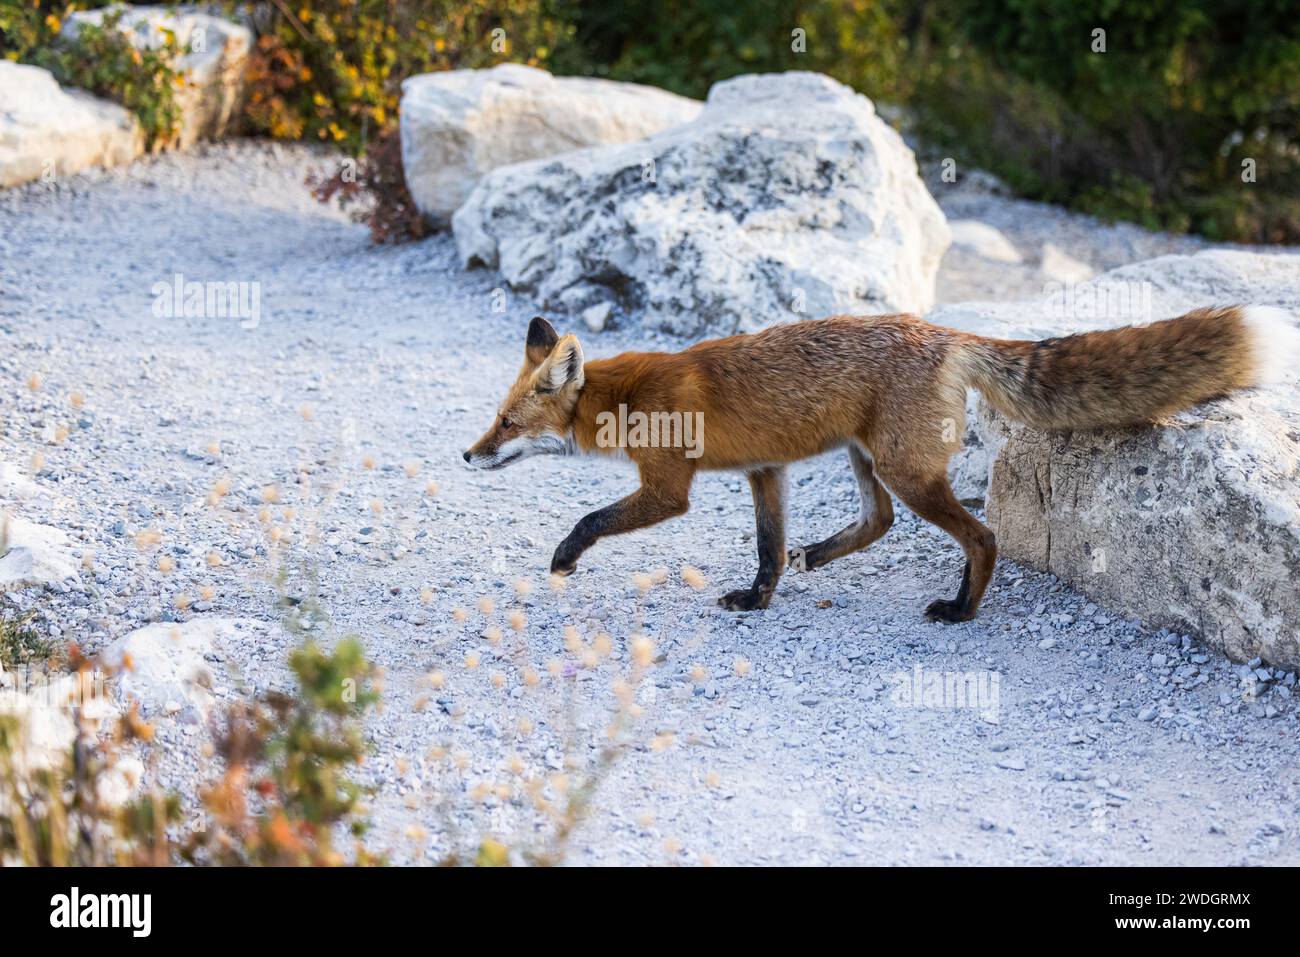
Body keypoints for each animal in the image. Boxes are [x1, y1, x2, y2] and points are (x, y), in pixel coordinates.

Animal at [464, 307, 1299, 621]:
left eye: (507, 421)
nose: (468, 453)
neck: (629, 393)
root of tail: (944, 331)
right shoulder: (766, 471)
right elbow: (767, 549)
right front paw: (758, 599)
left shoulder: (670, 489)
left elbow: (591, 516)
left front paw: (565, 556)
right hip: (869, 462)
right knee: (878, 522)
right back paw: (822, 554)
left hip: (906, 470)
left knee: (980, 536)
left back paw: (962, 609)